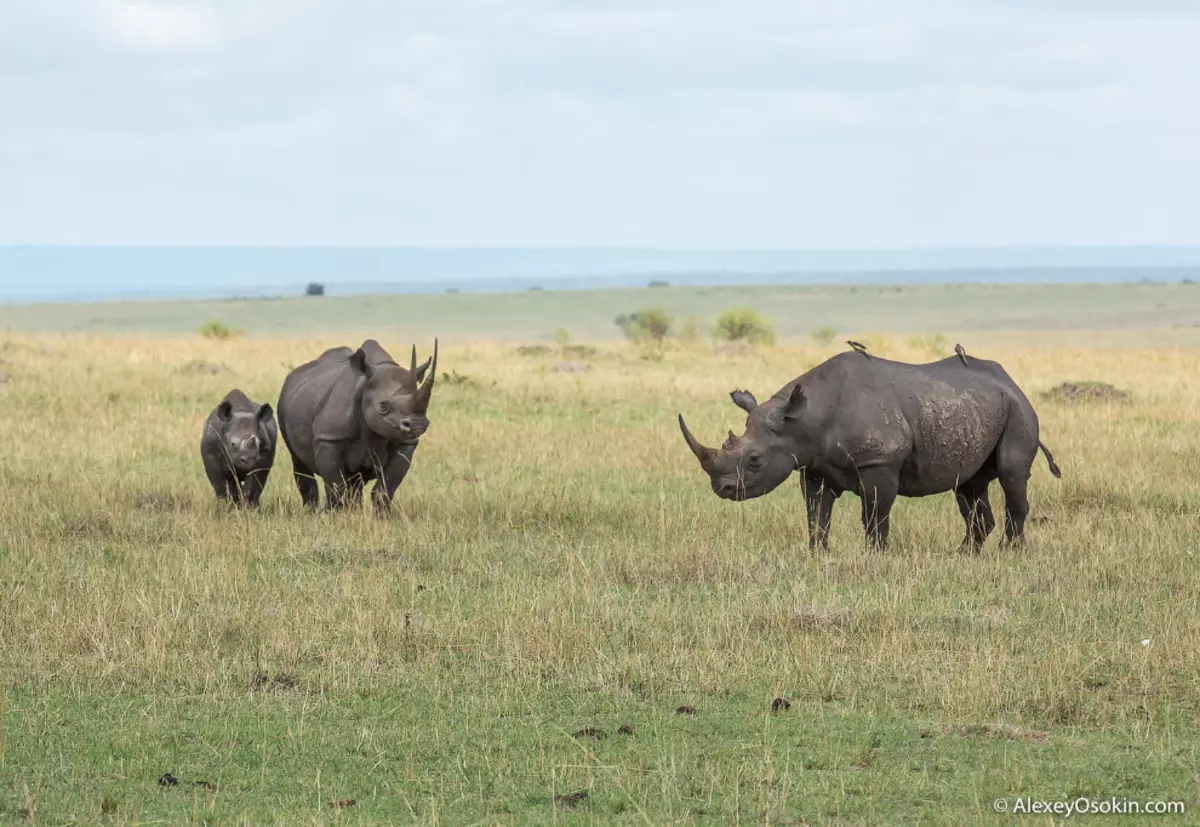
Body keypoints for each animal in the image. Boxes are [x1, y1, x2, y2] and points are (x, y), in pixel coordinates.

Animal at [276, 336, 436, 508]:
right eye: (383, 405)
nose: (417, 424)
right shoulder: (329, 438)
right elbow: (336, 489)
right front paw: (334, 514)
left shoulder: (405, 442)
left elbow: (384, 490)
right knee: (299, 462)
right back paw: (312, 510)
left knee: (355, 483)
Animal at [681, 345, 1065, 552]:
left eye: (755, 460)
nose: (722, 488)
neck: (802, 421)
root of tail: (1011, 382)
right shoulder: (812, 465)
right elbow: (816, 514)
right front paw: (818, 555)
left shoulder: (879, 461)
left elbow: (875, 515)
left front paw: (875, 556)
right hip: (977, 408)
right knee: (968, 486)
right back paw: (964, 555)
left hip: (1020, 411)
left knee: (1012, 475)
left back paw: (1009, 553)